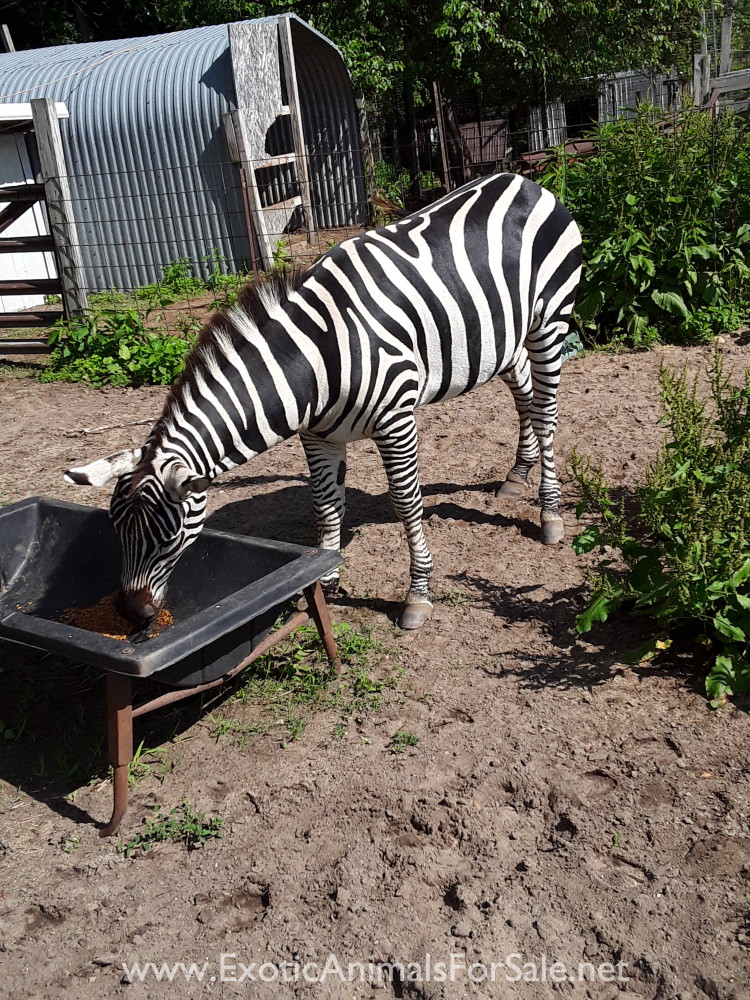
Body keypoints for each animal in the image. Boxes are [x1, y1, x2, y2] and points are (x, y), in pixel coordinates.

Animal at [65, 173, 582, 631]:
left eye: (169, 535)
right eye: (115, 529)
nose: (131, 615)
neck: (316, 358)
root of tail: (523, 181)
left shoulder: (396, 420)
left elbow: (406, 503)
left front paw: (417, 596)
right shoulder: (318, 436)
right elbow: (326, 504)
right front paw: (325, 580)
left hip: (550, 321)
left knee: (547, 413)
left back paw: (550, 514)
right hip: (501, 338)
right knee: (524, 396)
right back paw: (517, 474)